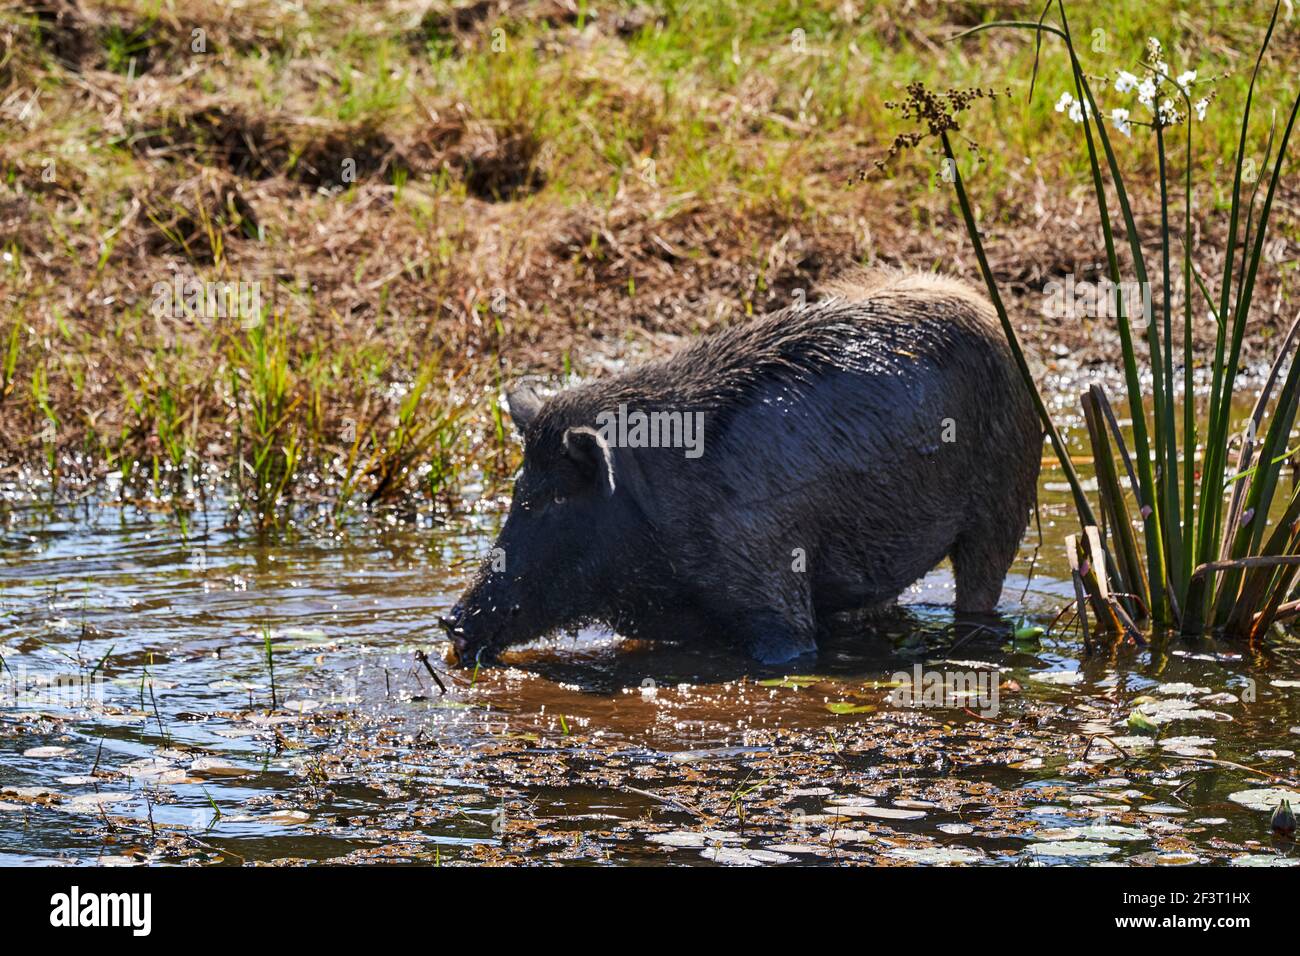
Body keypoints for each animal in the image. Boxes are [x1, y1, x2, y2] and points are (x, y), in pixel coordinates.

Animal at [442, 270, 1042, 666]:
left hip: (1004, 500)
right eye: (519, 488)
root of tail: (984, 308)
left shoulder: (770, 574)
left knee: (981, 586)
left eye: (555, 499)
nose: (452, 621)